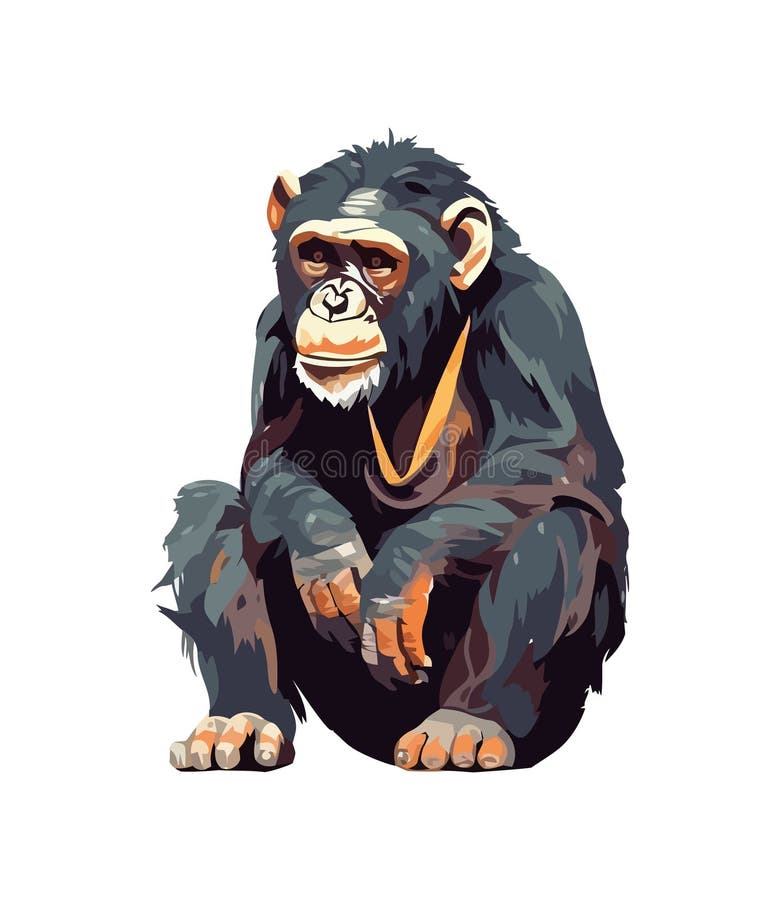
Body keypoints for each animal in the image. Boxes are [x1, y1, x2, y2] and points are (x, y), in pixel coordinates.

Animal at [157, 135, 628, 772]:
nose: (334, 301)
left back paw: (465, 725)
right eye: (317, 254)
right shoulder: (275, 328)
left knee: (557, 524)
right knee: (213, 507)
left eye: (378, 262)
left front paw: (399, 576)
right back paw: (244, 718)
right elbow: (268, 459)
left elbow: (553, 456)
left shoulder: (535, 312)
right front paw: (326, 547)